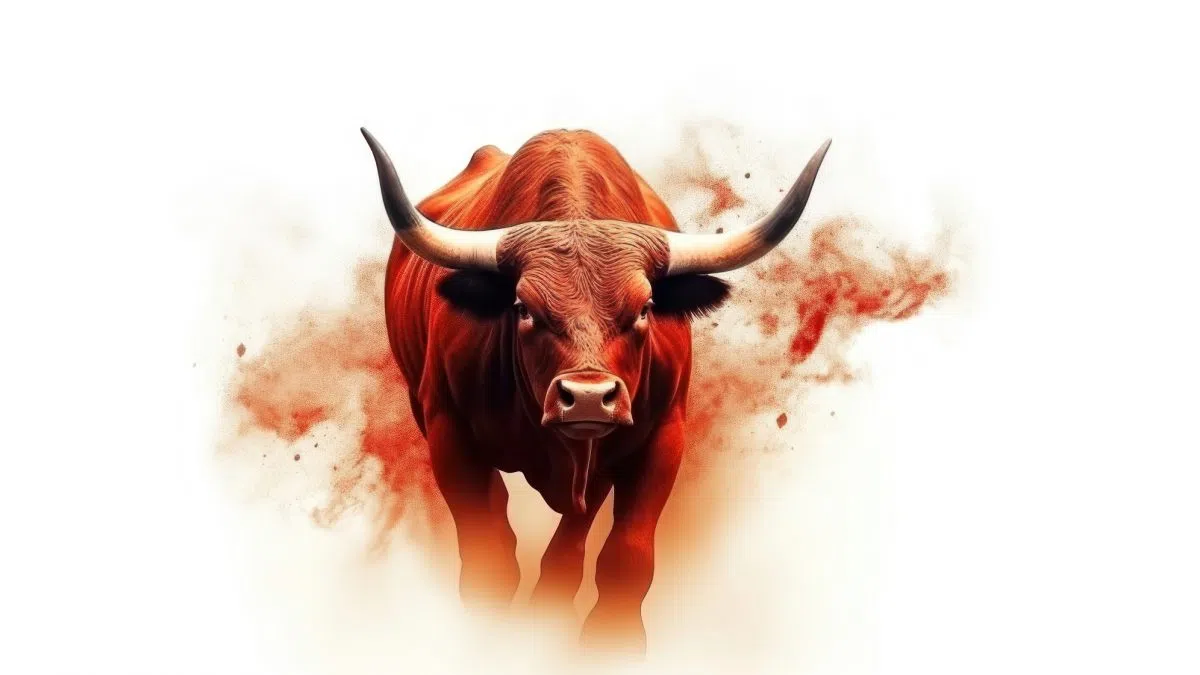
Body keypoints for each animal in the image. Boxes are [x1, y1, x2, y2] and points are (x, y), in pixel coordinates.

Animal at [361, 127, 830, 652]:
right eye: (523, 308)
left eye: (645, 308)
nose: (587, 397)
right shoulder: (448, 431)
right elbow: (489, 557)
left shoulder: (662, 436)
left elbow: (624, 553)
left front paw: (610, 638)